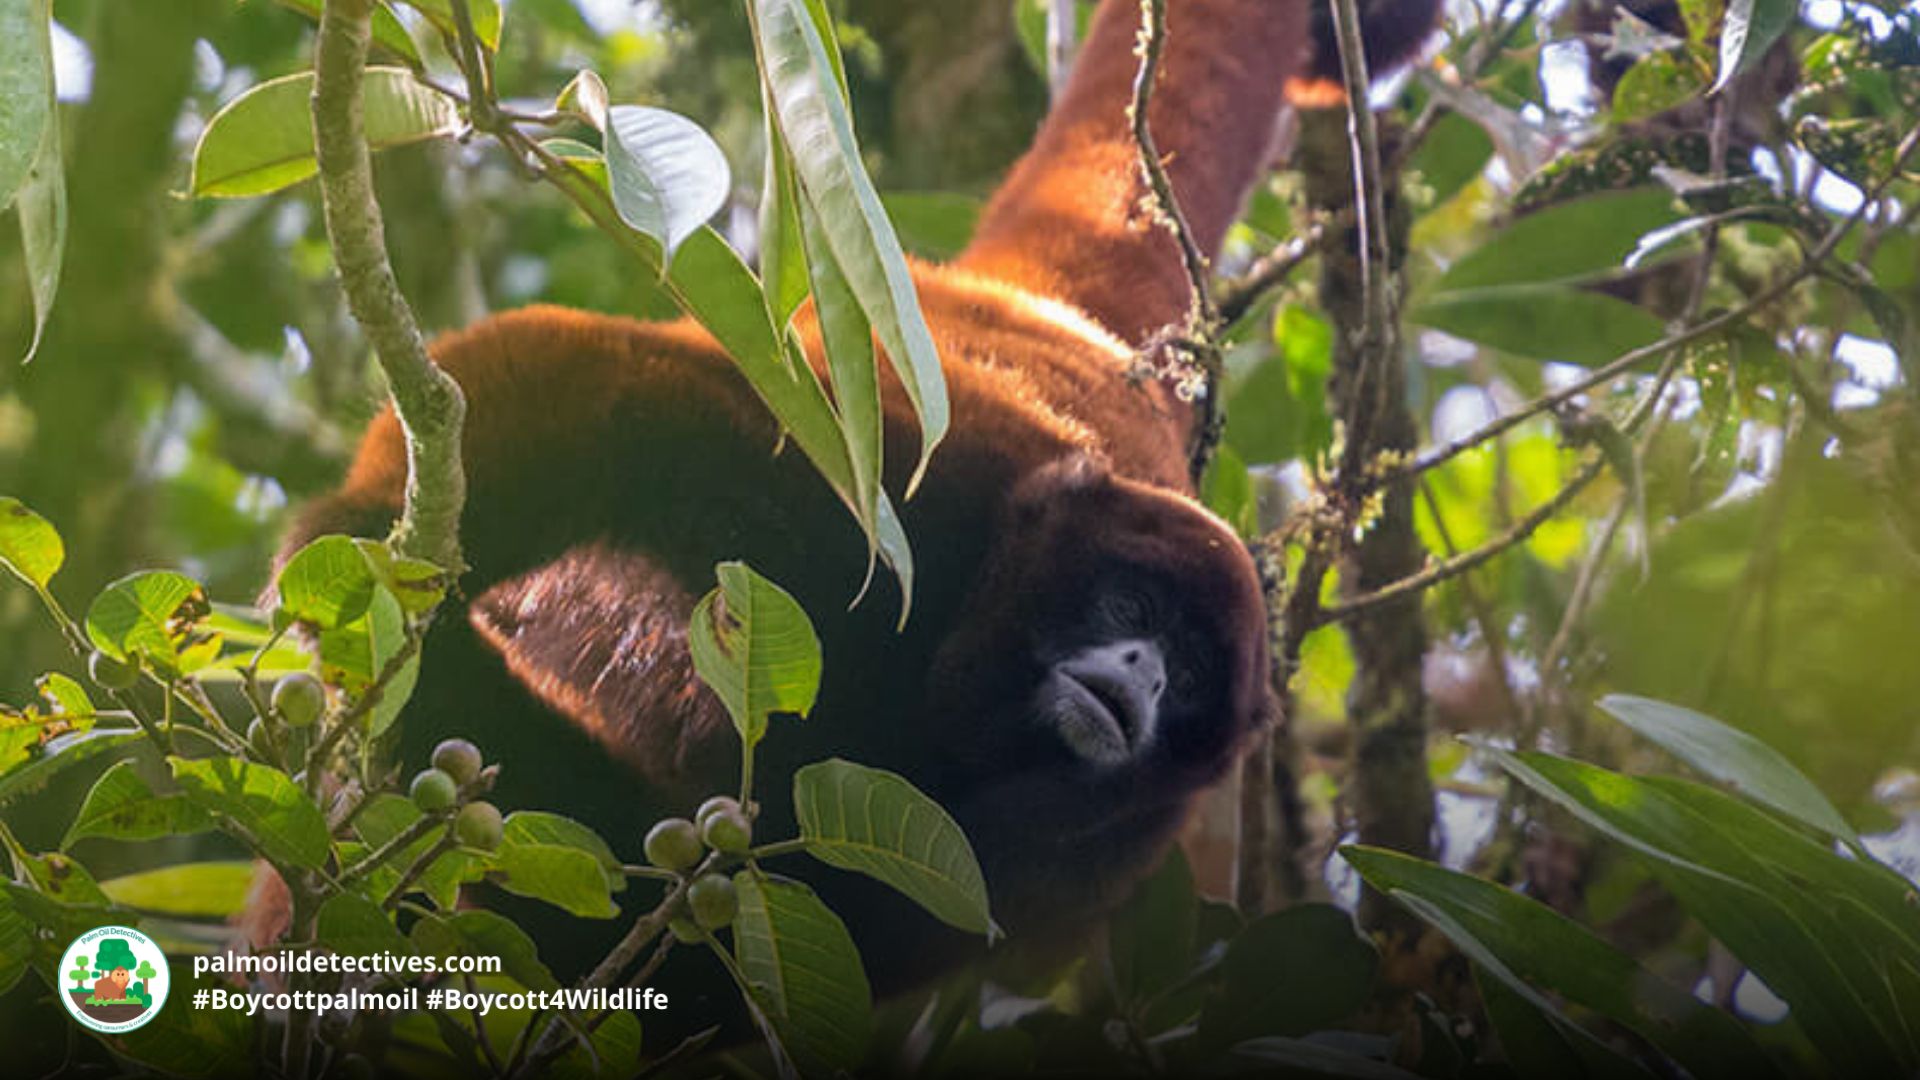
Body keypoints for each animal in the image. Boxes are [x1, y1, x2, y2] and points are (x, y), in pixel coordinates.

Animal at [279, 0, 1444, 1025]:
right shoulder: (924, 486)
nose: (1142, 677)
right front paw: (388, 585)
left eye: (1192, 673)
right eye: (1129, 606)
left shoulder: (1103, 846)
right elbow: (596, 370)